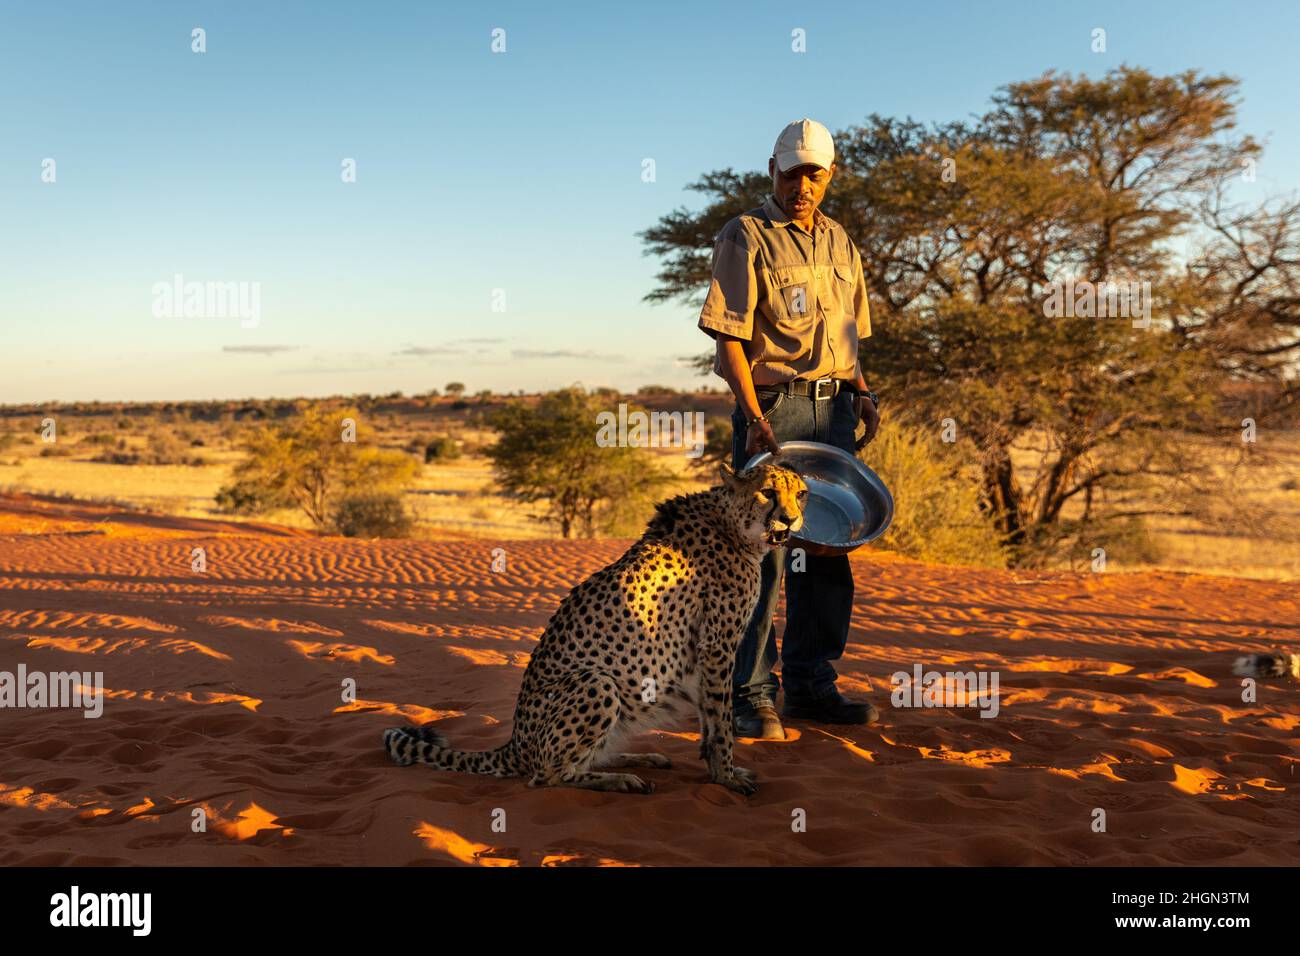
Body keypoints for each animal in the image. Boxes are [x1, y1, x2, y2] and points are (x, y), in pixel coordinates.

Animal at [383, 461, 808, 796]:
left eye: (801, 494)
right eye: (768, 493)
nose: (791, 518)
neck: (733, 525)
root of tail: (516, 743)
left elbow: (709, 717)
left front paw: (717, 767)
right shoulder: (717, 645)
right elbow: (720, 720)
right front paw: (726, 776)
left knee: (586, 757)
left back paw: (639, 758)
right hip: (598, 682)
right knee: (549, 775)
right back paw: (620, 780)